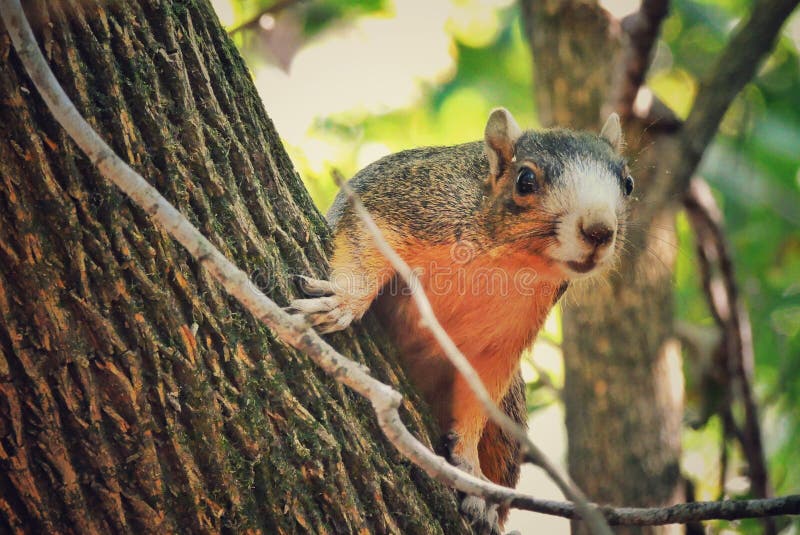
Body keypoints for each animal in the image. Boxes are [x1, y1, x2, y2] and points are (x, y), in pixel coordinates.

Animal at [288, 108, 632, 534]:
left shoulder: (504, 341)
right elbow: (364, 240)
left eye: (629, 184)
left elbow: (477, 396)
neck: (507, 261)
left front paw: (469, 467)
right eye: (525, 180)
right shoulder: (404, 200)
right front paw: (344, 300)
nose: (599, 229)